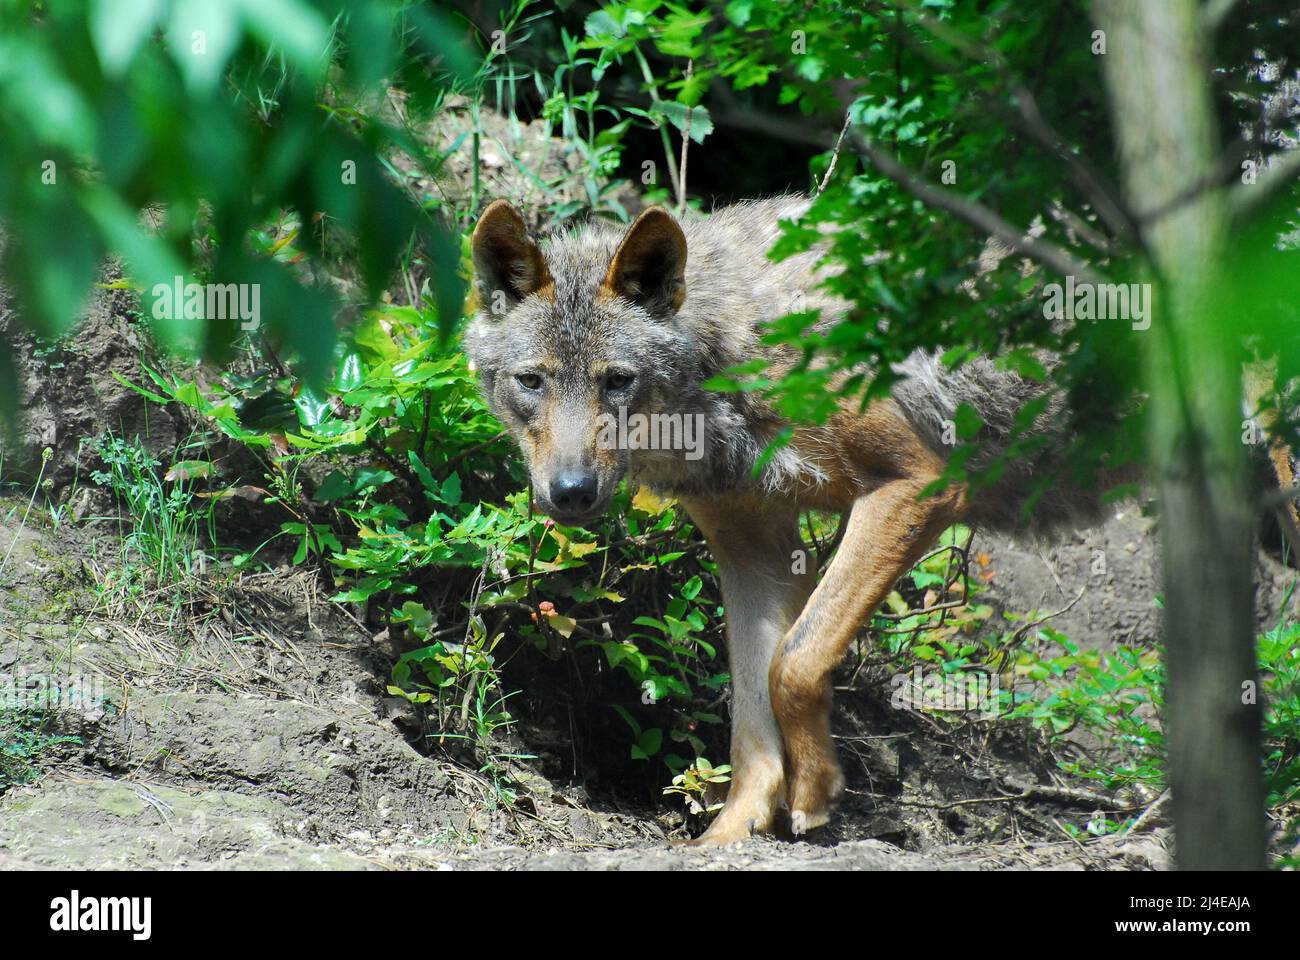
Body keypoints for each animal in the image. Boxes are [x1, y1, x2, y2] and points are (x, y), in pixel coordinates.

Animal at [464, 195, 1138, 845]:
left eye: (618, 381)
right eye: (532, 381)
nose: (571, 493)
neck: (738, 357)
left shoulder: (913, 486)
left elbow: (793, 663)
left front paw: (815, 793)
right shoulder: (752, 550)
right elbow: (751, 715)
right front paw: (730, 833)